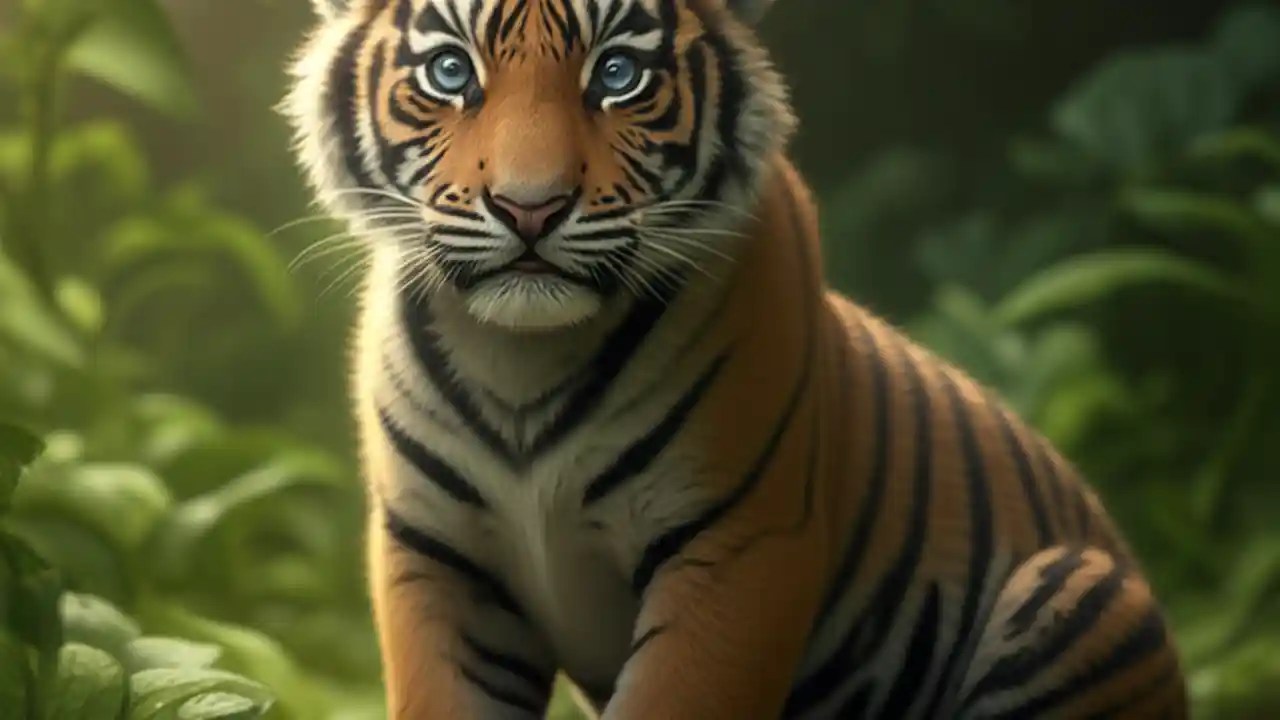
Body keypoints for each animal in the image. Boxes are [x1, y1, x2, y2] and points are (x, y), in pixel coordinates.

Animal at [282, 0, 1190, 717]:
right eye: (449, 70)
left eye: (617, 73)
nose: (529, 208)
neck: (520, 355)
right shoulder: (436, 561)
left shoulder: (736, 551)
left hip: (1078, 595)